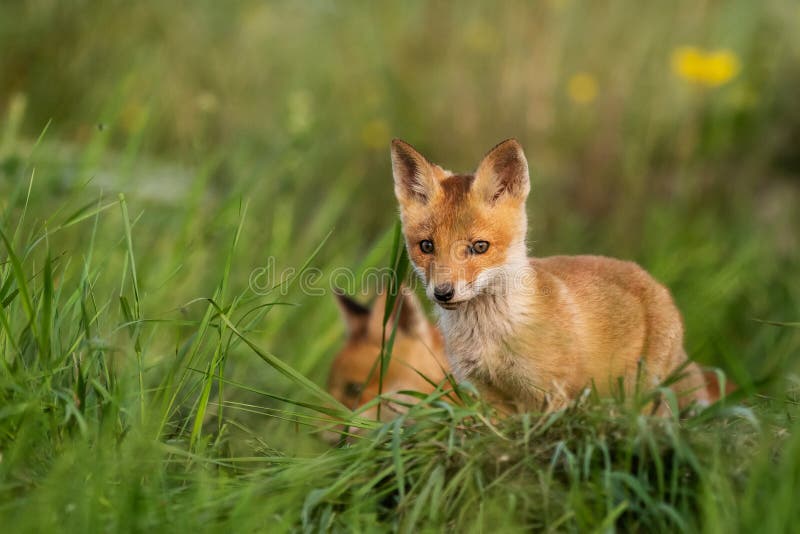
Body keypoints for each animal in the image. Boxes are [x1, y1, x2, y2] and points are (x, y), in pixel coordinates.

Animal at [390, 138, 711, 413]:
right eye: (426, 246)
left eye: (480, 247)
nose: (443, 292)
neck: (489, 339)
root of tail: (654, 281)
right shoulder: (486, 396)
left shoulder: (549, 394)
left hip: (639, 393)